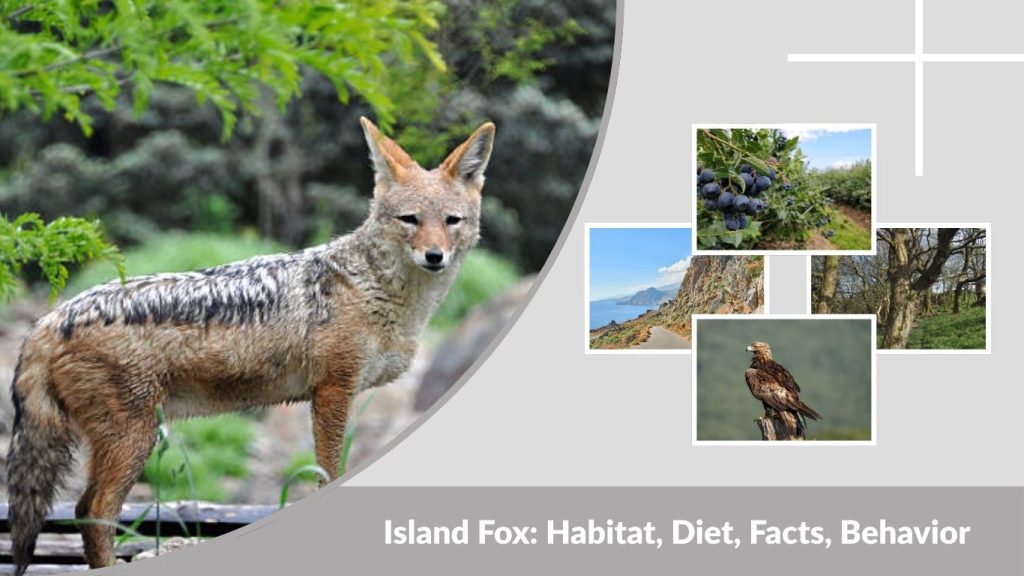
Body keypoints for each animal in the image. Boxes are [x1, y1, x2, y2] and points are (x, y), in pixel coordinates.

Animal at [5, 116, 495, 573]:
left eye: (451, 221)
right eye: (410, 220)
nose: (435, 256)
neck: (375, 290)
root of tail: (49, 318)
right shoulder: (333, 392)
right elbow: (328, 473)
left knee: (84, 509)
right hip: (134, 441)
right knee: (94, 511)